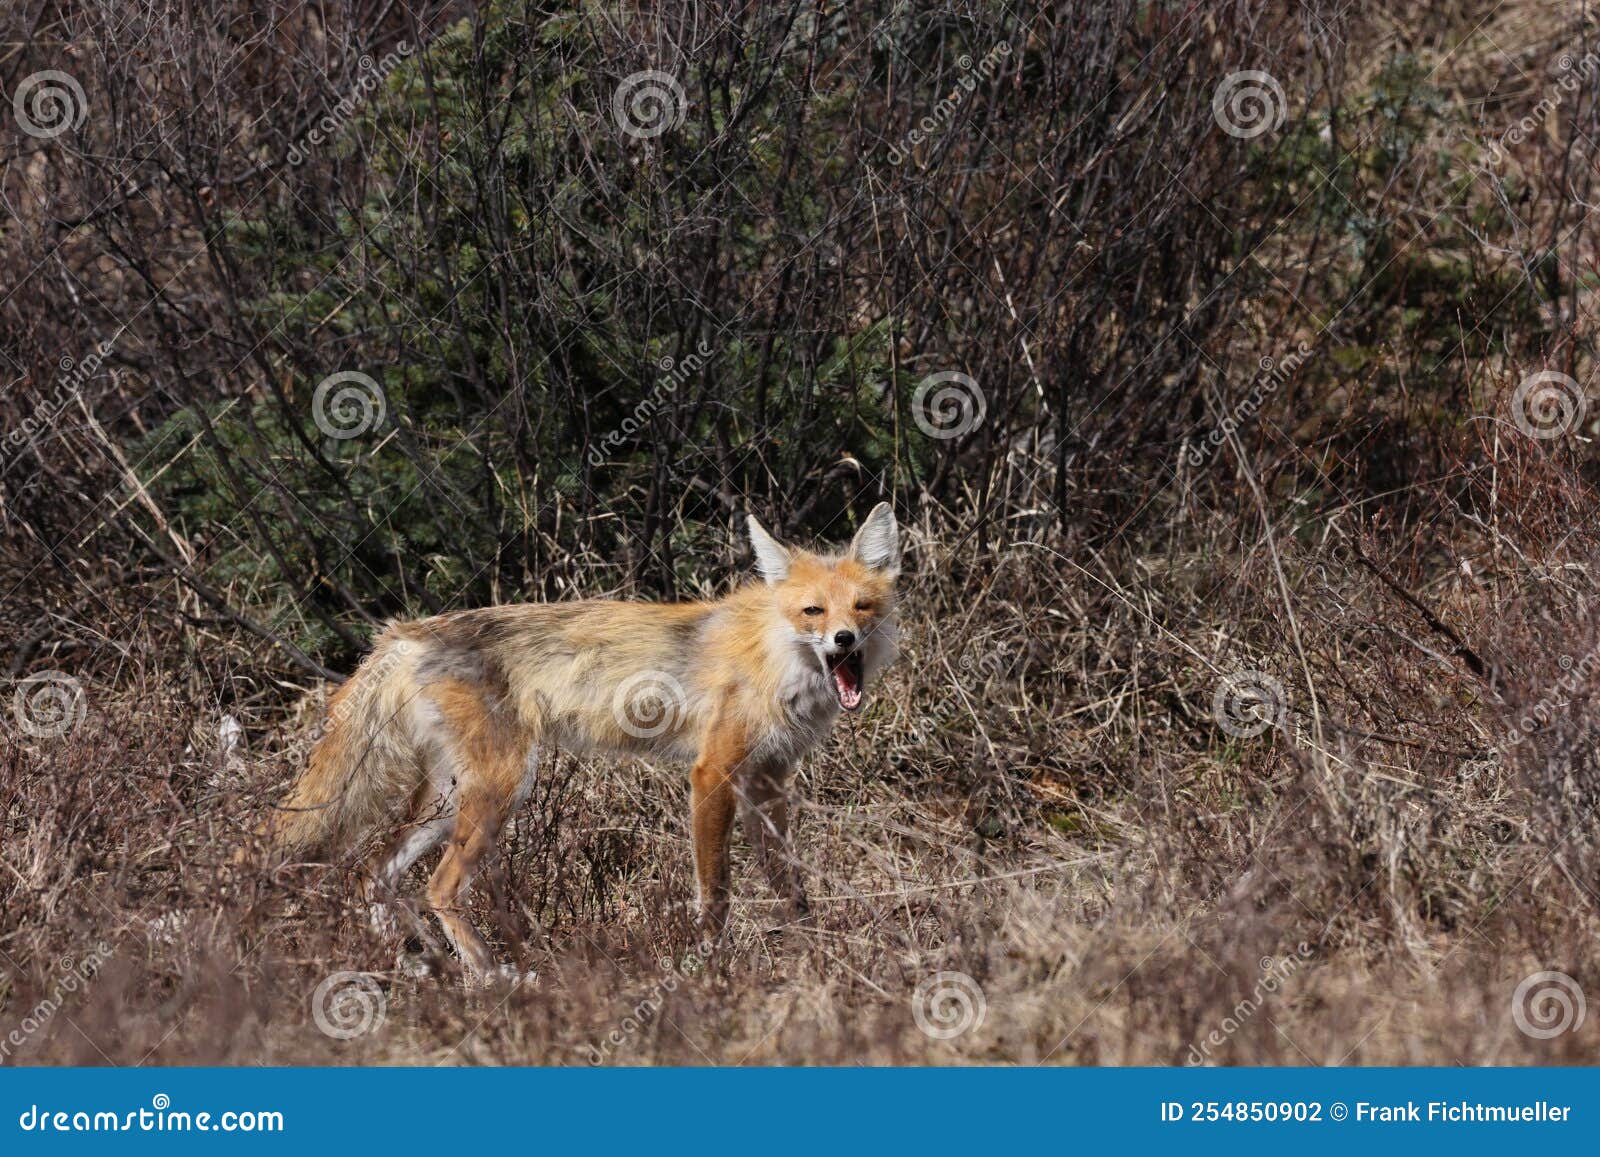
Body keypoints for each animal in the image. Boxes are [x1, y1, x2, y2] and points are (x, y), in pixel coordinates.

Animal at [252, 503, 901, 981]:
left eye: (862, 607)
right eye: (812, 611)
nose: (844, 640)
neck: (776, 659)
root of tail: (404, 631)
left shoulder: (768, 782)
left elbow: (792, 888)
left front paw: (812, 954)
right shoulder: (712, 773)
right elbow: (715, 893)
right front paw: (708, 968)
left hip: (446, 798)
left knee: (372, 873)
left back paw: (414, 967)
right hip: (502, 787)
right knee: (436, 888)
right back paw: (492, 977)